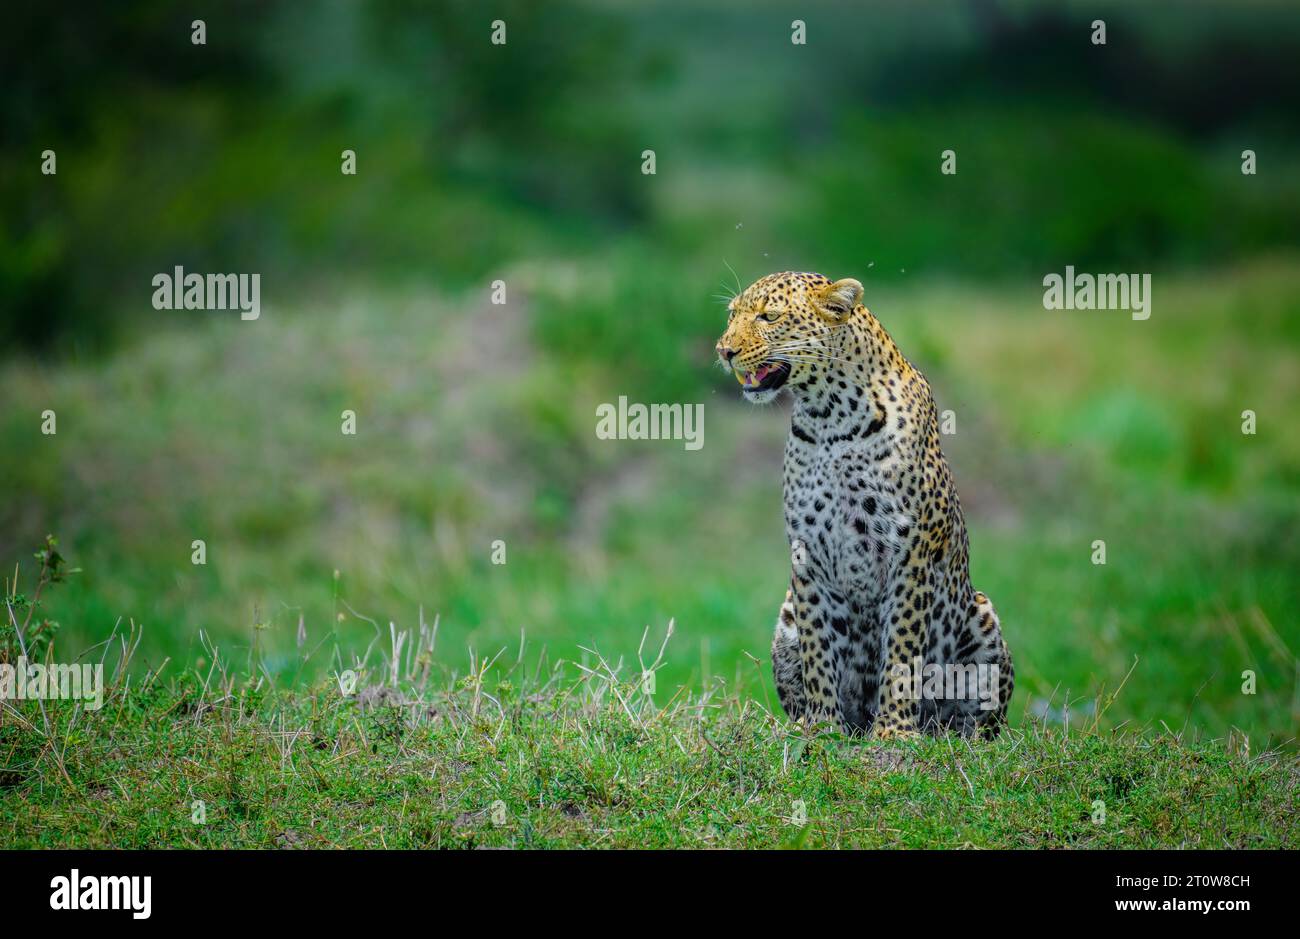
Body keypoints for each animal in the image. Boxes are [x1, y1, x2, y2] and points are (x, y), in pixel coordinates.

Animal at [715, 271, 1013, 740]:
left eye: (769, 317)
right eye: (732, 315)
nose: (723, 350)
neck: (829, 417)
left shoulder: (909, 552)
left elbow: (902, 648)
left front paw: (894, 730)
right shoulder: (808, 553)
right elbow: (818, 647)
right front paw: (822, 726)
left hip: (982, 617)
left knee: (977, 719)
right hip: (785, 620)